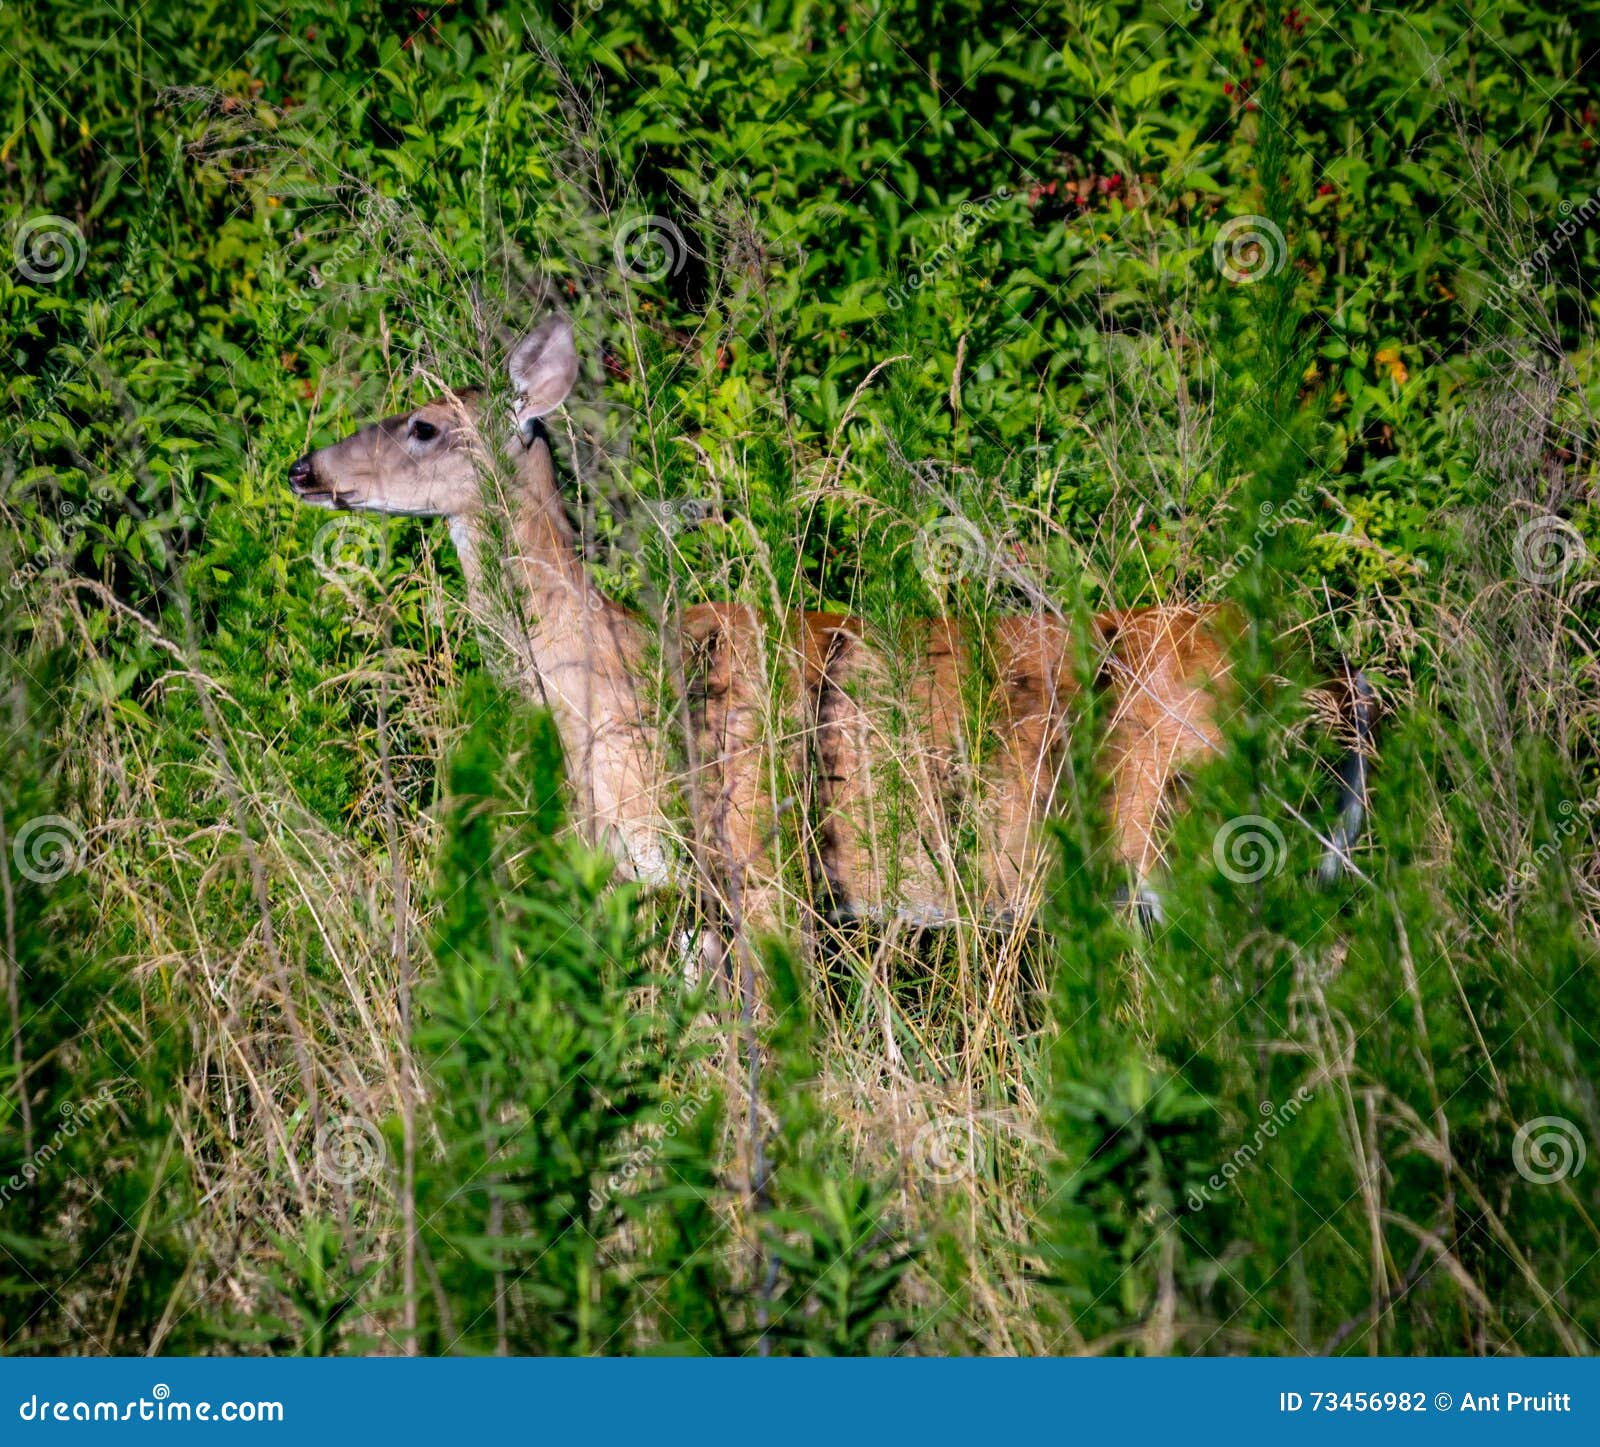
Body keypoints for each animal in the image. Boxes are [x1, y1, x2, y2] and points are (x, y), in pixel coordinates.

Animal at [287, 314, 1374, 960]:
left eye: (424, 425)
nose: (305, 469)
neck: (617, 683)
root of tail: (1343, 693)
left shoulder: (769, 869)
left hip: (1201, 844)